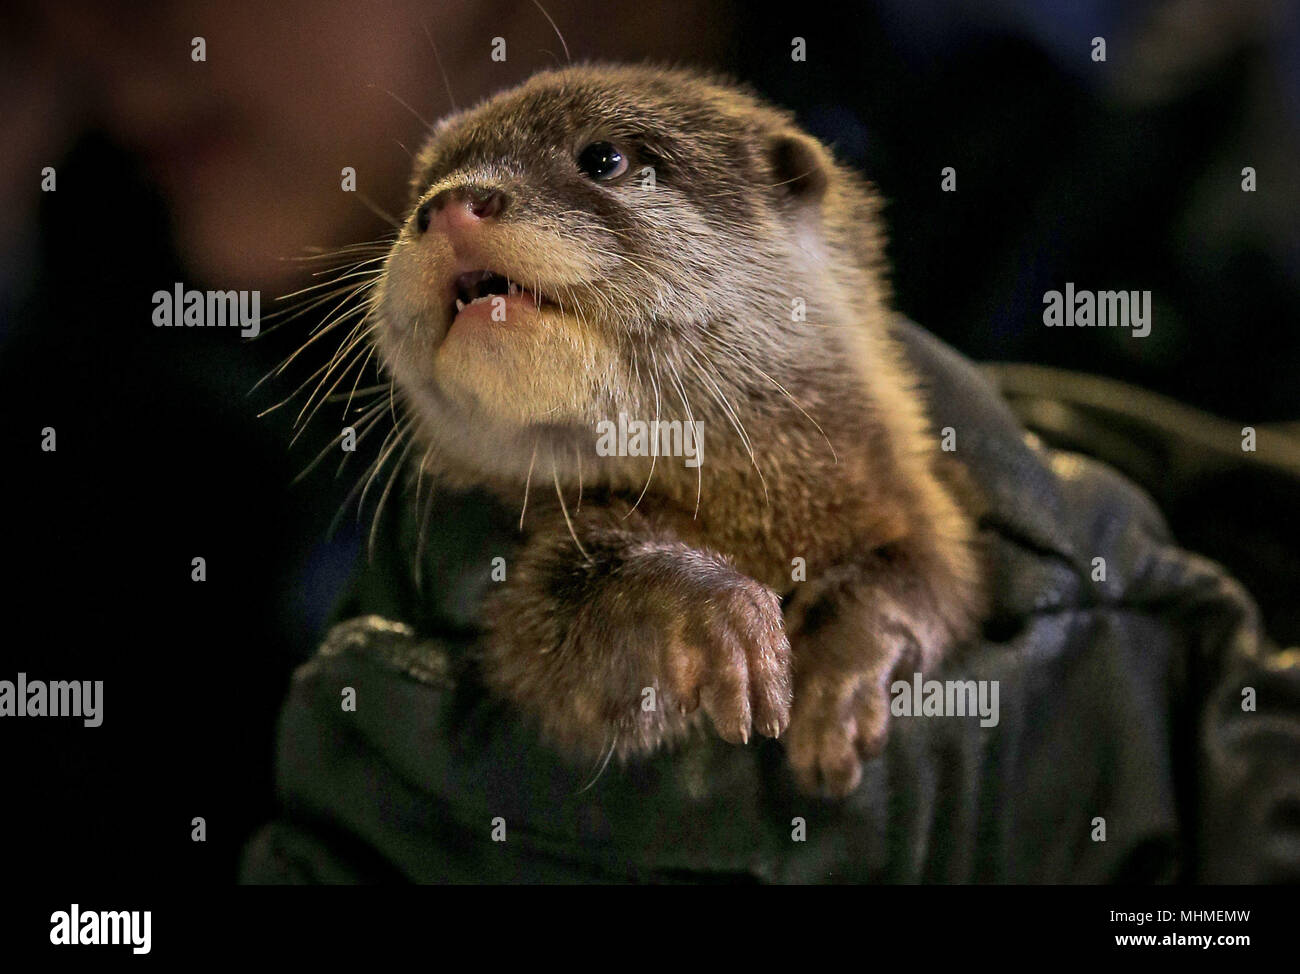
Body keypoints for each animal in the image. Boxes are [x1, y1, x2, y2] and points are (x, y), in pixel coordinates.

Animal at [367, 64, 985, 797]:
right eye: (424, 185)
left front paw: (840, 687)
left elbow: (925, 576)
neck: (747, 513)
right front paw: (706, 609)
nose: (450, 203)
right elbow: (552, 650)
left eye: (604, 158)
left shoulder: (903, 486)